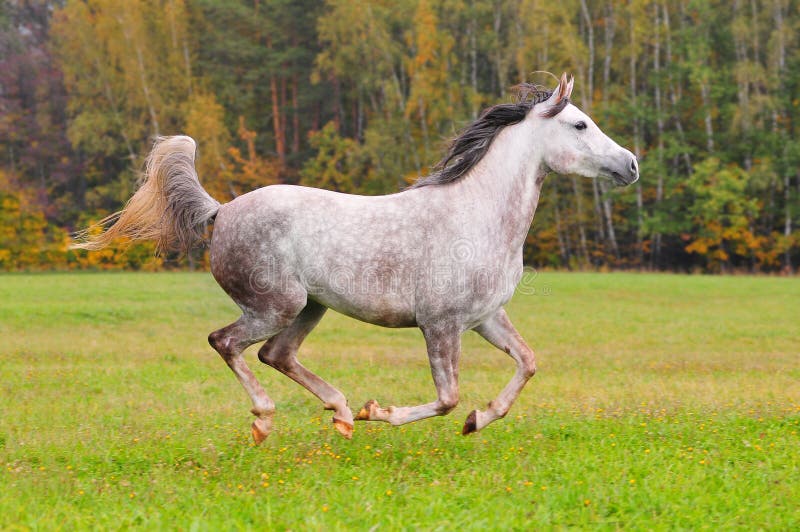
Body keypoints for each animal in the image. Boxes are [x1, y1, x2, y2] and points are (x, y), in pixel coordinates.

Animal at [72, 73, 638, 444]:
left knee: (275, 354)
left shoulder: (485, 318)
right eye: (580, 125)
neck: (477, 214)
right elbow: (447, 396)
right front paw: (379, 413)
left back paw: (340, 412)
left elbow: (527, 363)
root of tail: (222, 210)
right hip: (275, 305)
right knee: (226, 343)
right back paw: (267, 419)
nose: (631, 164)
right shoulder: (440, 325)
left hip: (310, 307)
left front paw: (478, 420)